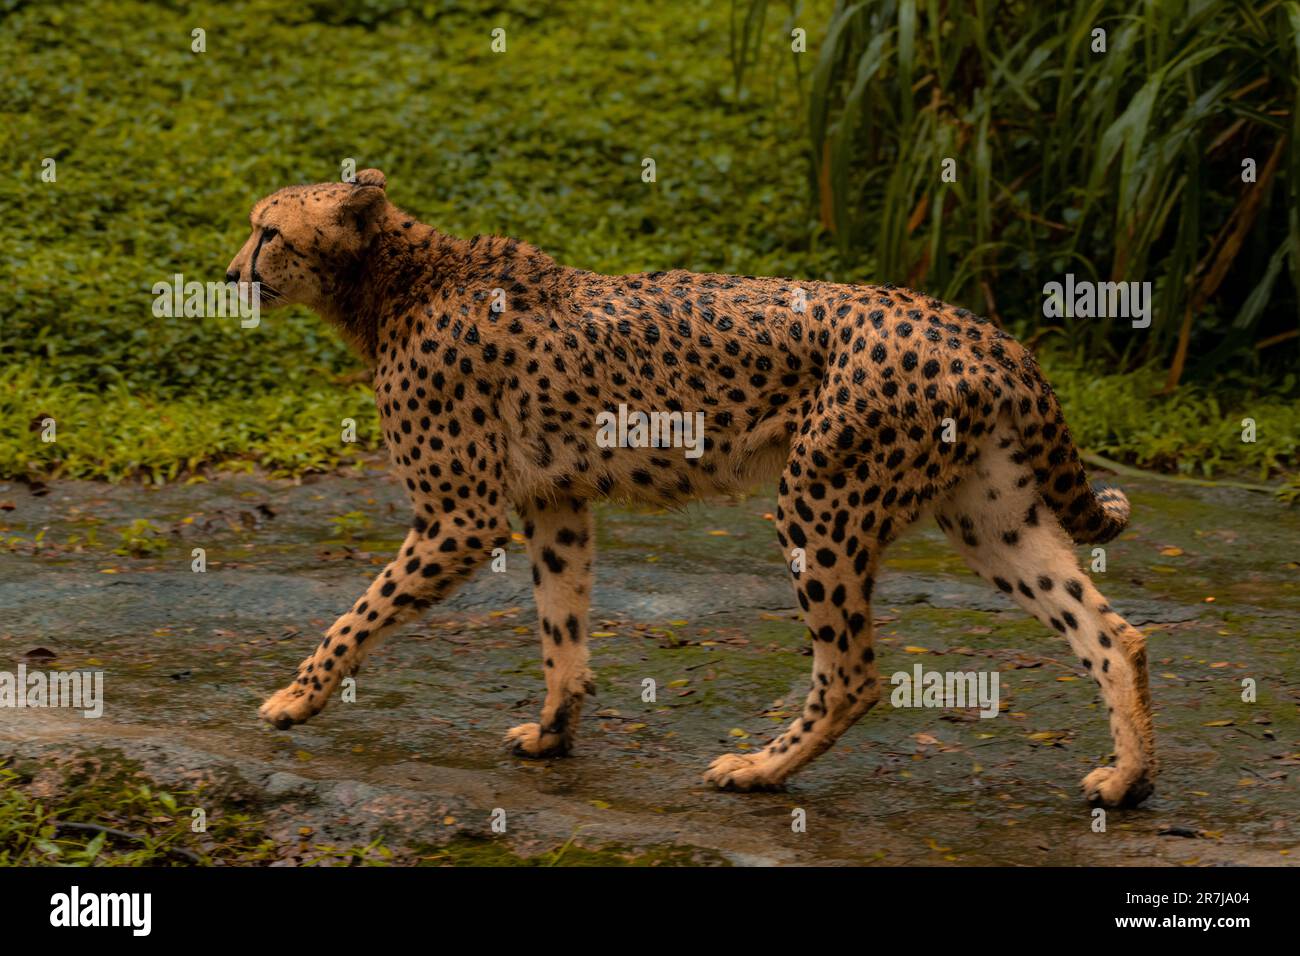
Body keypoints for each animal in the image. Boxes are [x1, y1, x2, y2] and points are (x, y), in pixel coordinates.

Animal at [226, 168, 1155, 807]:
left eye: (268, 232)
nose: (232, 275)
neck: (399, 277)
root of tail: (985, 331)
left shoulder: (461, 515)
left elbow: (361, 610)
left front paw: (296, 697)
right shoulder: (554, 503)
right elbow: (562, 626)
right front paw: (555, 730)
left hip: (819, 502)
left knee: (852, 672)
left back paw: (760, 768)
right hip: (990, 517)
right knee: (1111, 633)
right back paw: (1127, 779)